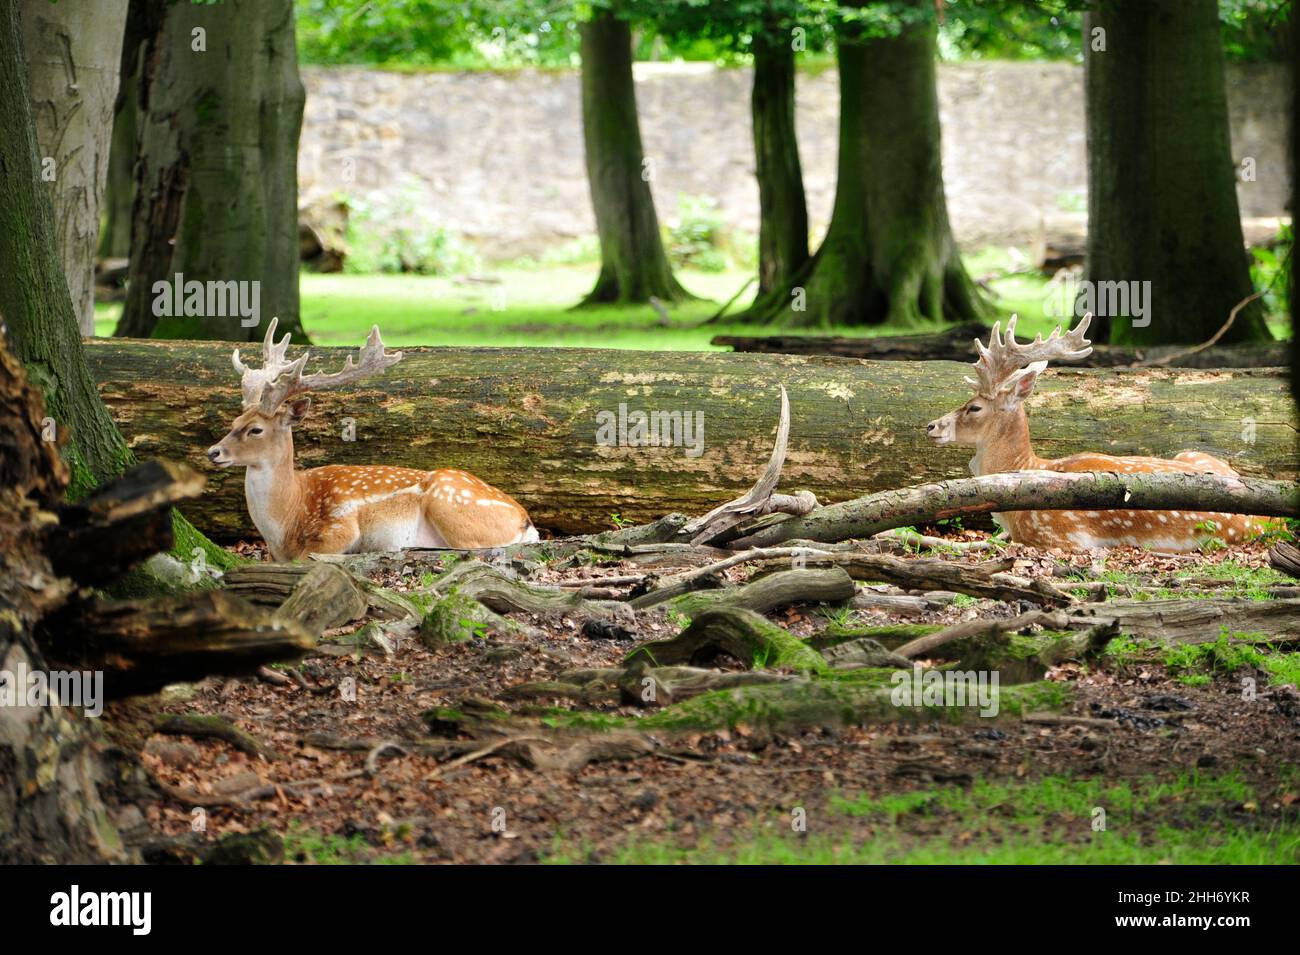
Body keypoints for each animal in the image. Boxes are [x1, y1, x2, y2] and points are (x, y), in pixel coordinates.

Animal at [207, 319, 538, 561]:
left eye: (256, 429)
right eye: (234, 423)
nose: (214, 452)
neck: (289, 518)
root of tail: (524, 519)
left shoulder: (339, 526)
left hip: (450, 506)